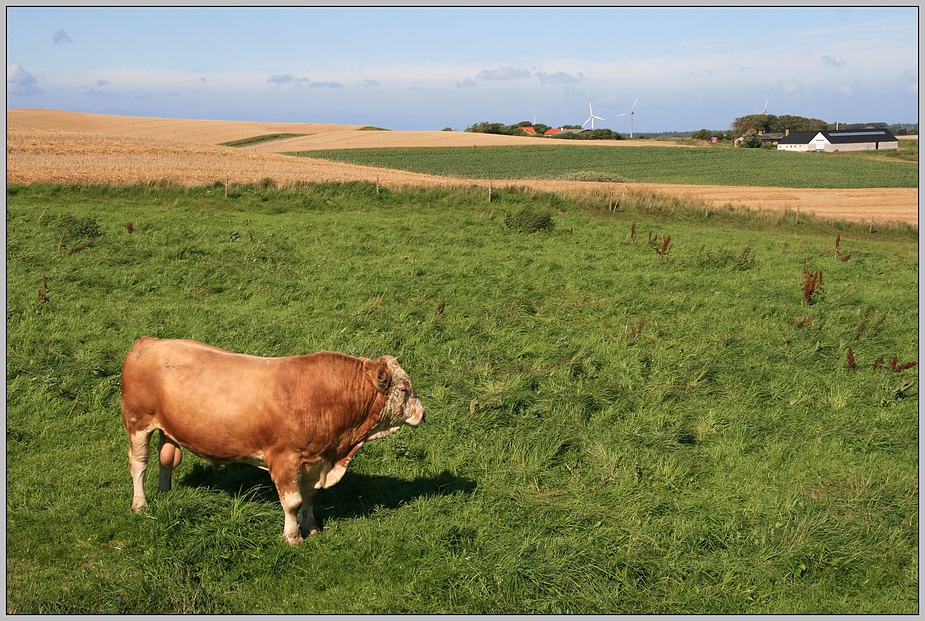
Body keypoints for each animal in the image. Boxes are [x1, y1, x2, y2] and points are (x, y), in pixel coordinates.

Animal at [120, 336, 425, 546]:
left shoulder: (314, 460)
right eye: (403, 389)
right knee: (139, 465)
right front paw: (293, 537)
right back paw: (140, 505)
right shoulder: (285, 458)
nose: (422, 413)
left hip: (167, 427)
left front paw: (312, 527)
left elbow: (309, 498)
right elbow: (292, 502)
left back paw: (165, 493)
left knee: (166, 460)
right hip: (137, 422)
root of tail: (149, 342)